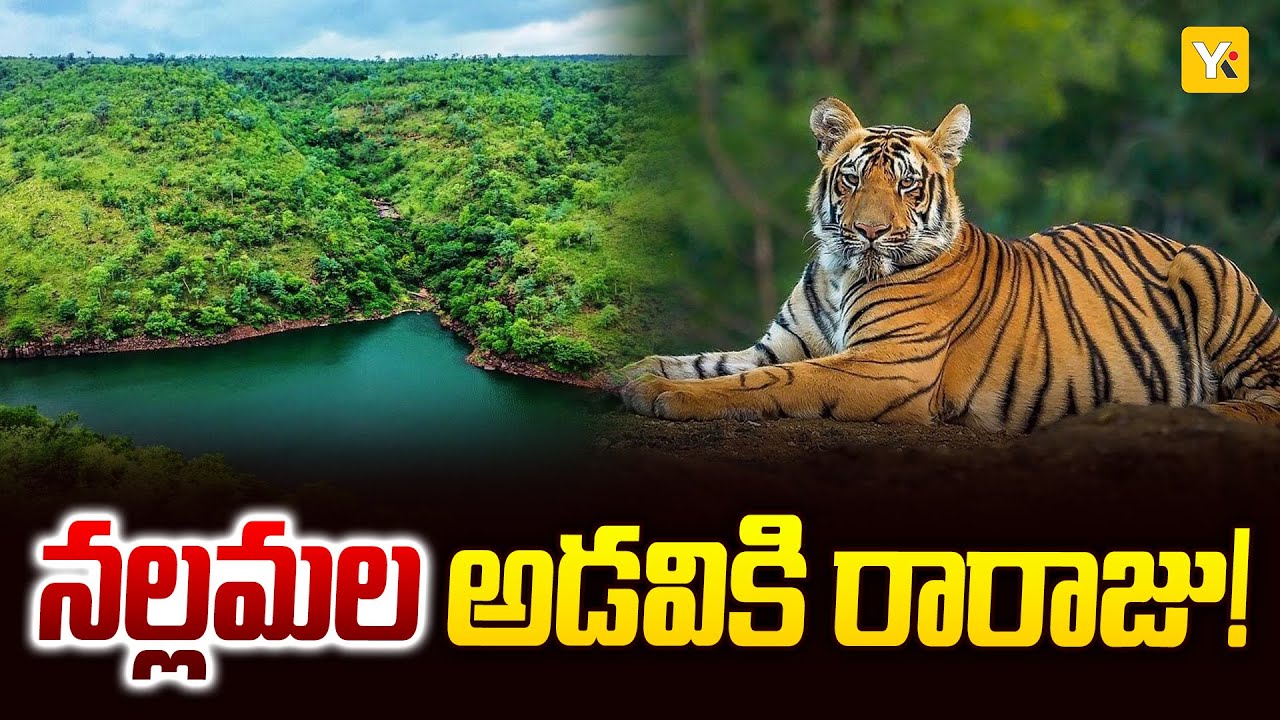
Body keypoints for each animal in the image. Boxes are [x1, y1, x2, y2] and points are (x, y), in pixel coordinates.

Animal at [617, 97, 1280, 432]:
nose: (869, 231)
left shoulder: (884, 366)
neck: (839, 271)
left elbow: (766, 382)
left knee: (1265, 403)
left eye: (907, 186)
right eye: (853, 179)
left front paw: (659, 395)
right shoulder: (780, 344)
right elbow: (707, 361)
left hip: (1211, 275)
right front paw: (630, 373)